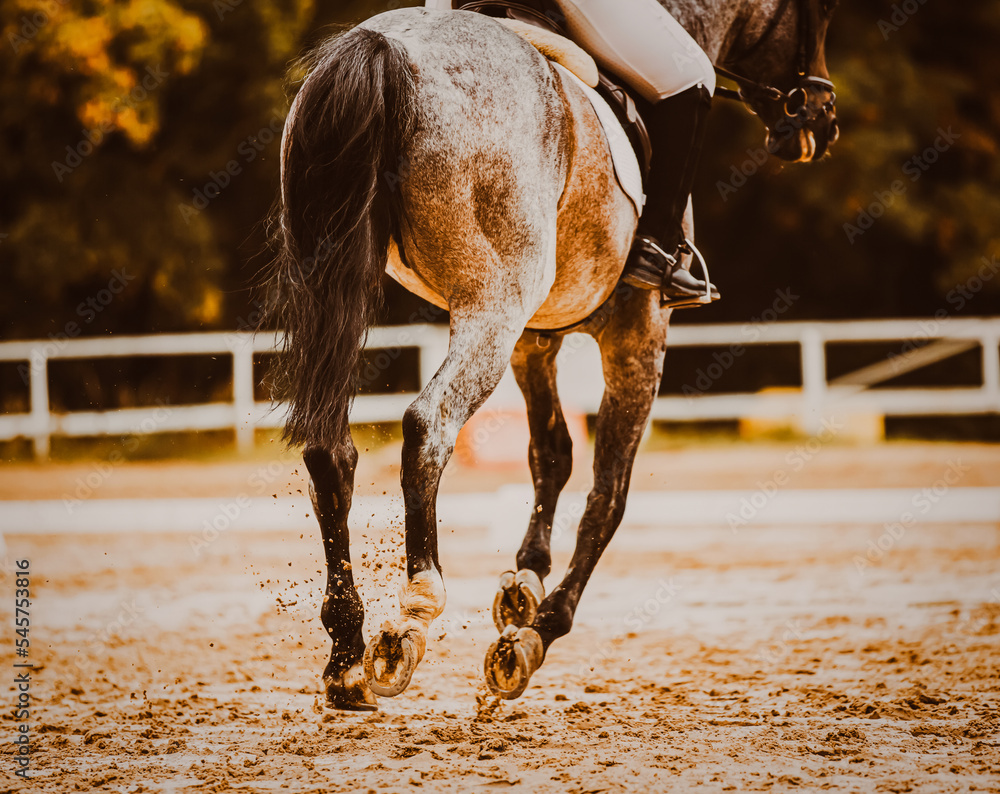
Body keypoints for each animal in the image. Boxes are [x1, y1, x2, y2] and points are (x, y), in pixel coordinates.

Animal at [270, 0, 839, 710]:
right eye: (820, 14)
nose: (820, 120)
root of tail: (383, 47)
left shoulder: (535, 338)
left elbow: (552, 456)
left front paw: (523, 587)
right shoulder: (638, 336)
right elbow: (609, 494)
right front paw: (536, 634)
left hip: (341, 291)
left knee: (328, 448)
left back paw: (347, 654)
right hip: (493, 305)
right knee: (429, 427)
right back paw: (411, 618)